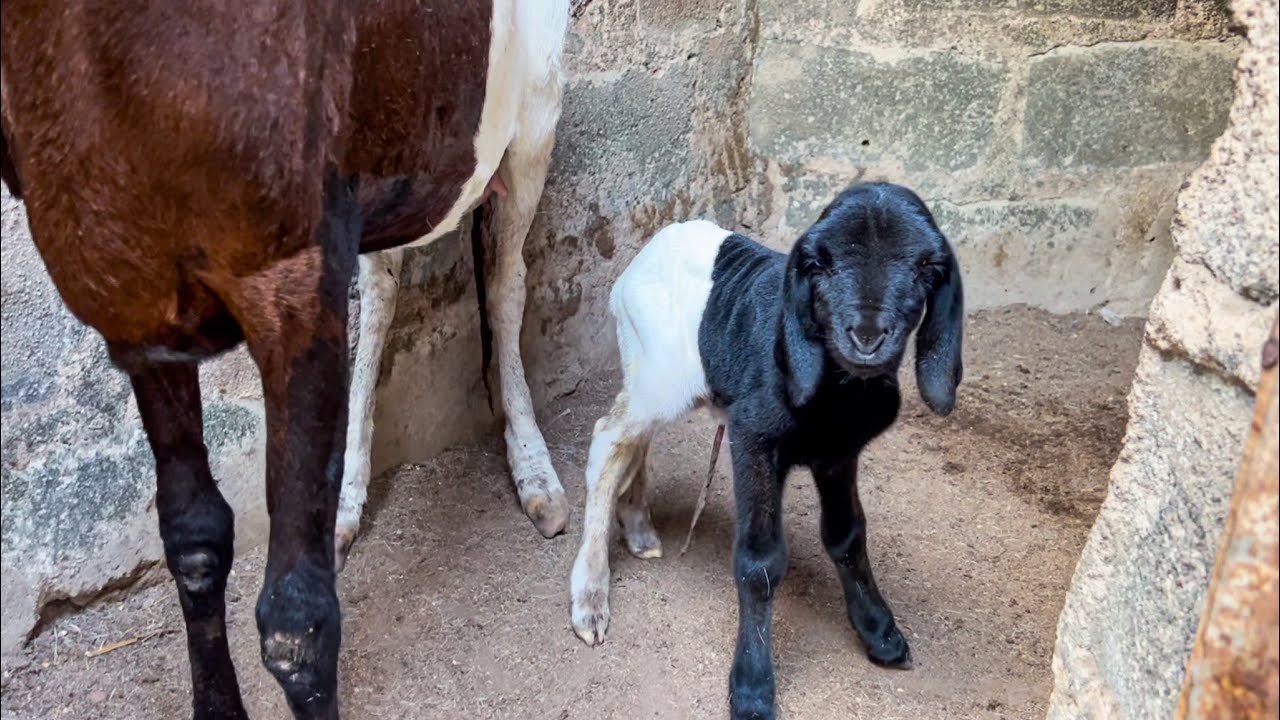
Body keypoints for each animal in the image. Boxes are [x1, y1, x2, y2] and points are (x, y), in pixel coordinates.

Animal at [569, 182, 965, 719]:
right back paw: (590, 596)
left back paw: (639, 529)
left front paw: (881, 633)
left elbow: (847, 536)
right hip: (658, 378)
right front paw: (753, 688)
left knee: (635, 441)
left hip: (653, 375)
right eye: (819, 264)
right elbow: (760, 562)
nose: (866, 336)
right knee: (608, 438)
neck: (838, 395)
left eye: (926, 268)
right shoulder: (752, 437)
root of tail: (631, 271)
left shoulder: (839, 454)